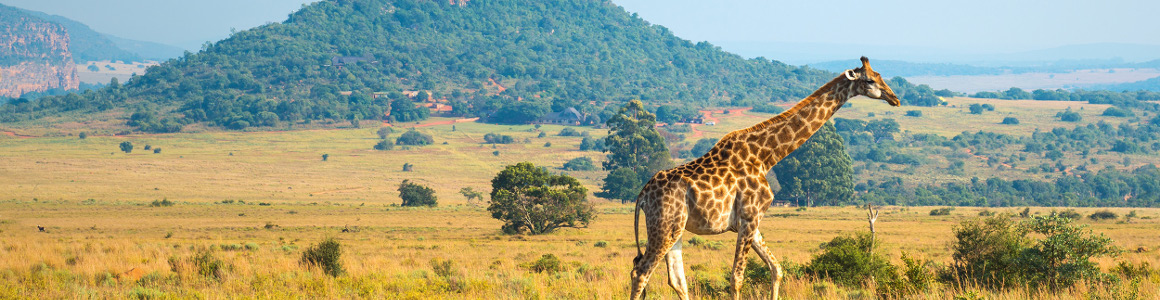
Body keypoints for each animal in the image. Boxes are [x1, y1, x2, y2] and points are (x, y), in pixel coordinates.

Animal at [631, 57, 900, 300]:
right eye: (869, 80)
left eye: (880, 75)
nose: (895, 98)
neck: (766, 156)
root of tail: (642, 195)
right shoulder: (749, 217)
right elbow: (737, 278)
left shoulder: (750, 220)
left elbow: (776, 269)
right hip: (664, 226)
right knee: (641, 272)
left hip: (676, 228)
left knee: (676, 280)